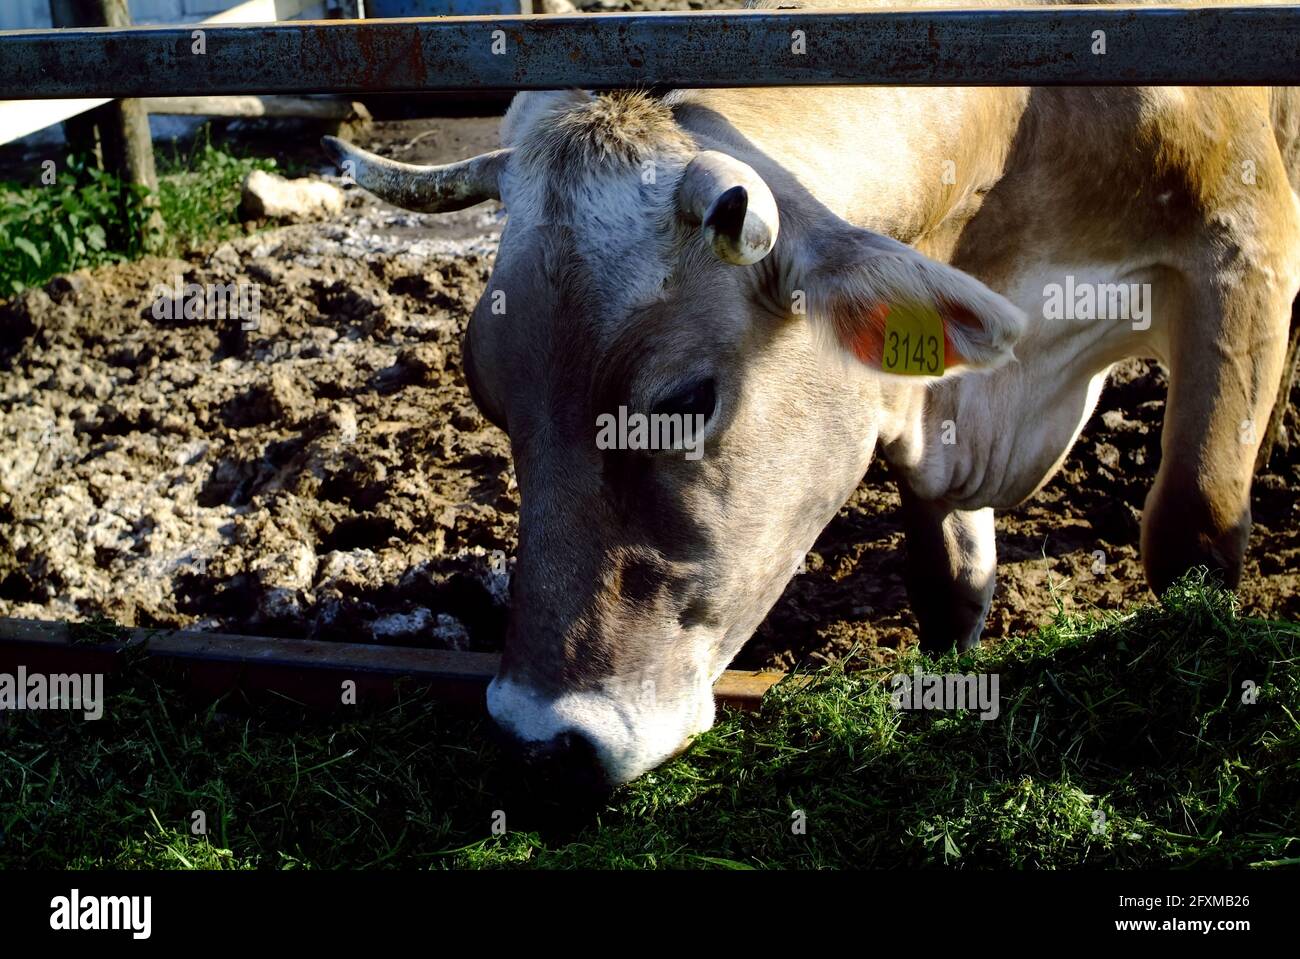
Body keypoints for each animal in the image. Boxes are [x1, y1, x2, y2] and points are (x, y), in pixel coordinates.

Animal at [323, 0, 1300, 787]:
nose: (539, 742)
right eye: (487, 389)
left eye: (684, 401)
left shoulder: (1242, 253)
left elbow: (1192, 521)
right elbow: (949, 578)